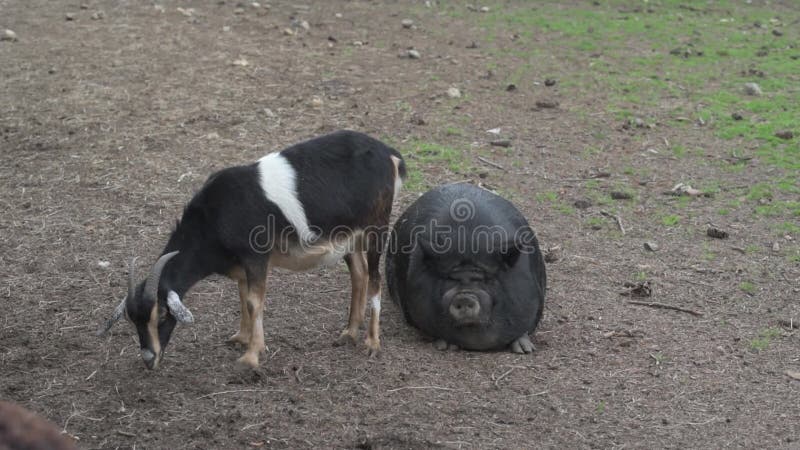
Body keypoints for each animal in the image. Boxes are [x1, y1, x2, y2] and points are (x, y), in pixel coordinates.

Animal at [97, 130, 406, 369]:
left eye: (162, 314)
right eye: (132, 319)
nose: (149, 358)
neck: (212, 215)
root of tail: (389, 154)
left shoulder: (256, 256)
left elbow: (255, 301)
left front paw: (251, 357)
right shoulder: (241, 264)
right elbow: (243, 296)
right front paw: (242, 339)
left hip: (376, 225)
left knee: (375, 278)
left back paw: (371, 343)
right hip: (349, 235)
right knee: (359, 274)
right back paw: (349, 333)